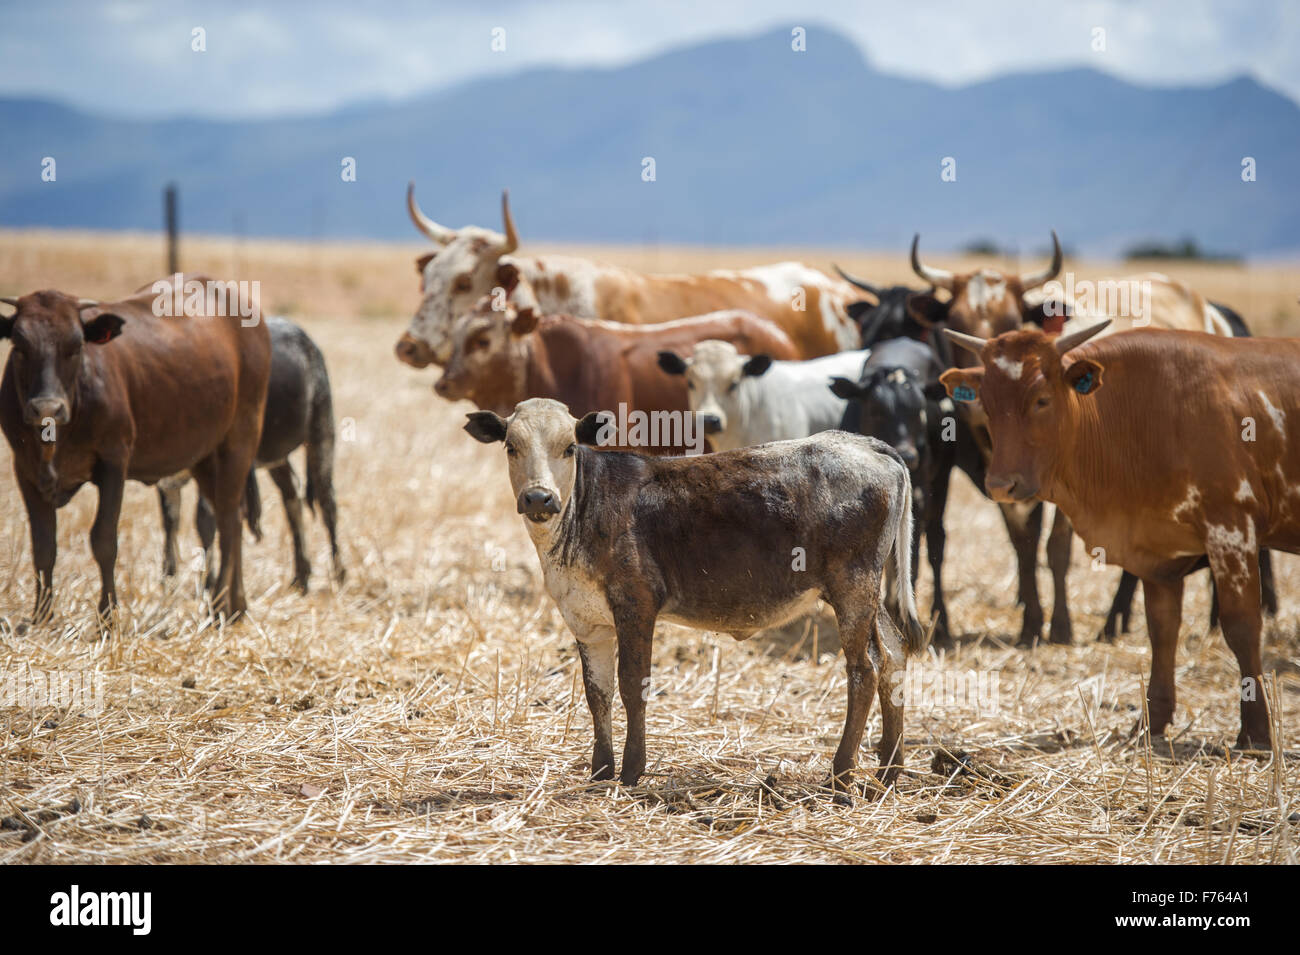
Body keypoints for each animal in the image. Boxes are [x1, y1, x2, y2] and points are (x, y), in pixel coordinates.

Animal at [0, 276, 271, 621]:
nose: (47, 408)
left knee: (226, 519)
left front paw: (107, 616)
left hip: (239, 441)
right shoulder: (25, 470)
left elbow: (103, 540)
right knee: (233, 518)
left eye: (75, 346)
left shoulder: (114, 462)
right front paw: (41, 617)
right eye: (20, 347)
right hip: (205, 457)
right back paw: (235, 604)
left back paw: (223, 604)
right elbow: (43, 546)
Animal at [156, 316, 343, 593]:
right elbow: (170, 520)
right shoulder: (164, 478)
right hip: (276, 455)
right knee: (292, 495)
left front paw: (210, 582)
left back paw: (339, 572)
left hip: (321, 434)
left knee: (327, 501)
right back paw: (301, 575)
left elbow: (204, 520)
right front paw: (167, 579)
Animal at [464, 397, 927, 796]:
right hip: (863, 593)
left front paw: (631, 771)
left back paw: (841, 775)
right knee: (893, 654)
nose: (538, 497)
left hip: (853, 583)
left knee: (863, 670)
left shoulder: (636, 603)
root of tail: (865, 444)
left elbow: (632, 685)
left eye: (569, 447)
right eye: (511, 446)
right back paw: (888, 771)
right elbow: (598, 692)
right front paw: (600, 772)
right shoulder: (586, 619)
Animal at [938, 321, 1299, 748]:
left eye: (1041, 400)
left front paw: (1256, 732)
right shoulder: (1161, 553)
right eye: (988, 404)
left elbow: (1242, 627)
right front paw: (1151, 723)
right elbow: (1162, 630)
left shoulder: (1232, 531)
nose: (1000, 485)